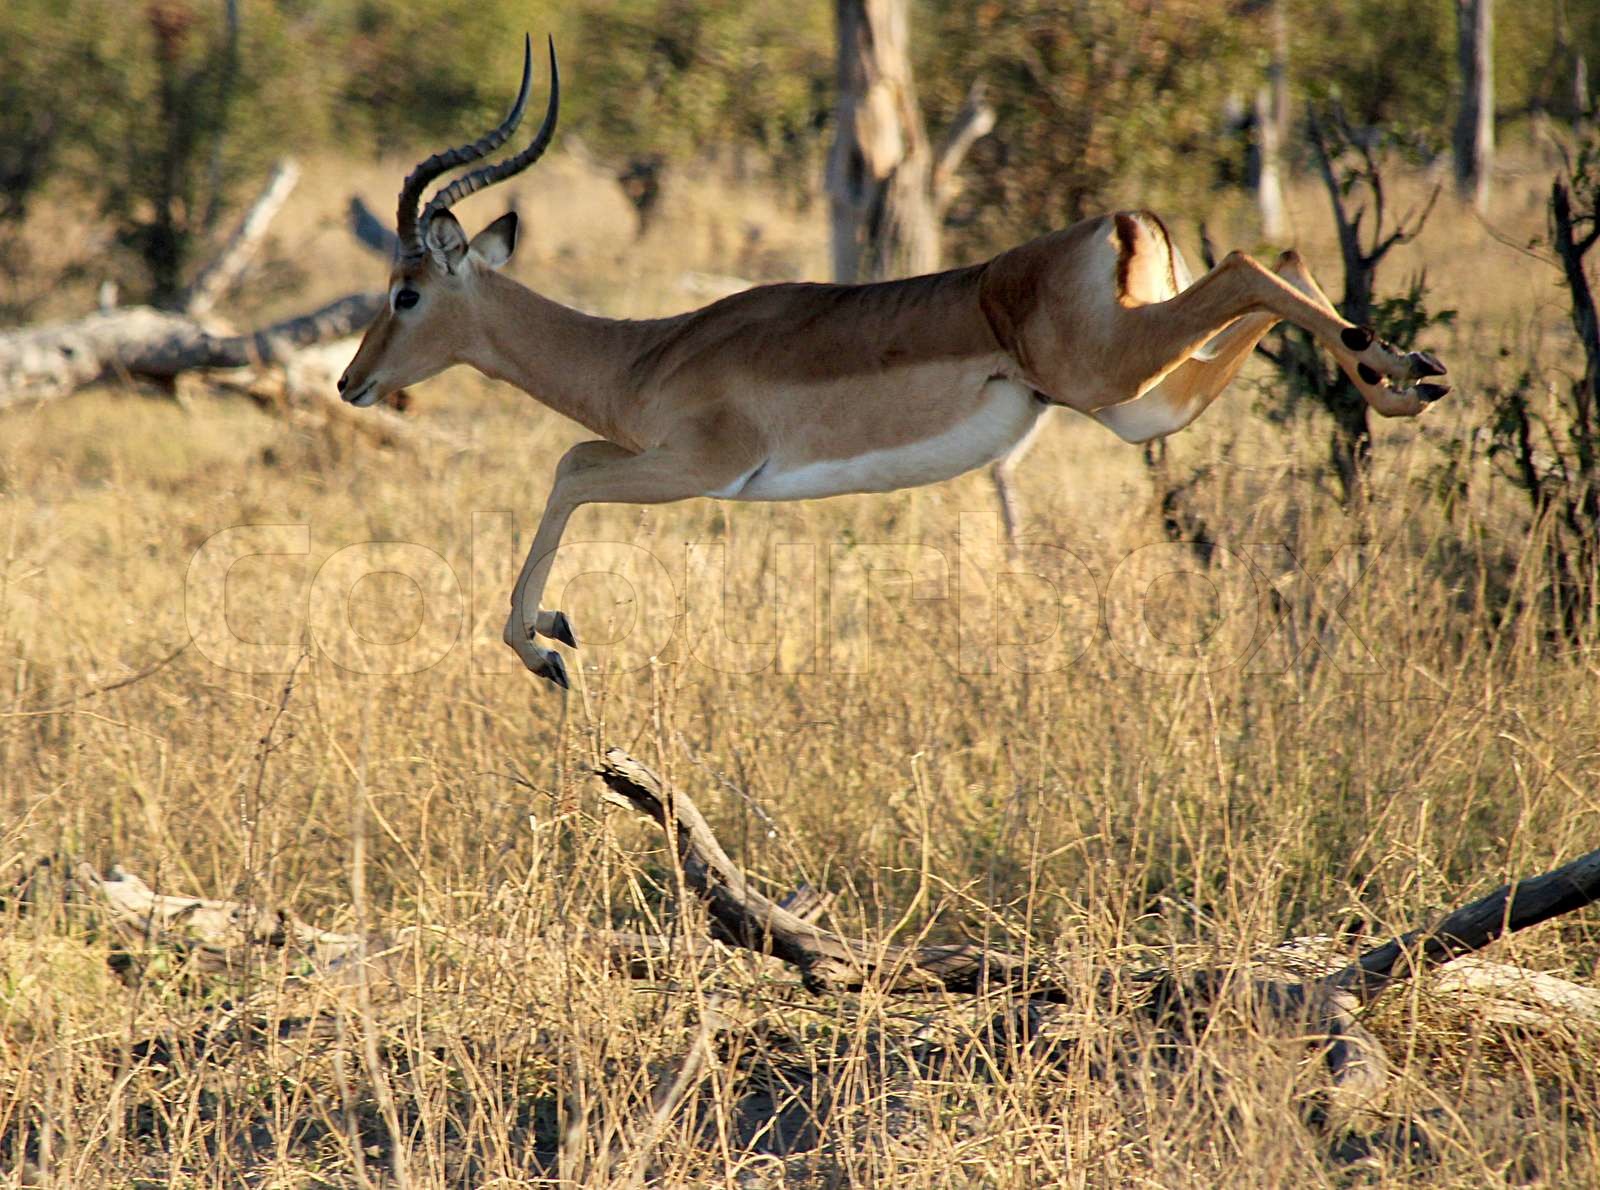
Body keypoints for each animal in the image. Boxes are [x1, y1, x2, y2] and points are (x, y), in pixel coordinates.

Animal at [340, 36, 1451, 689]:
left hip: (1114, 376)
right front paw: (554, 636)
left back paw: (1399, 368)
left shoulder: (697, 467)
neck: (643, 353)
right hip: (1143, 403)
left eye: (405, 290)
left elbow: (567, 467)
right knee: (1287, 263)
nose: (353, 383)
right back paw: (1401, 379)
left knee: (1251, 262)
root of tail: (1122, 221)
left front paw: (546, 647)